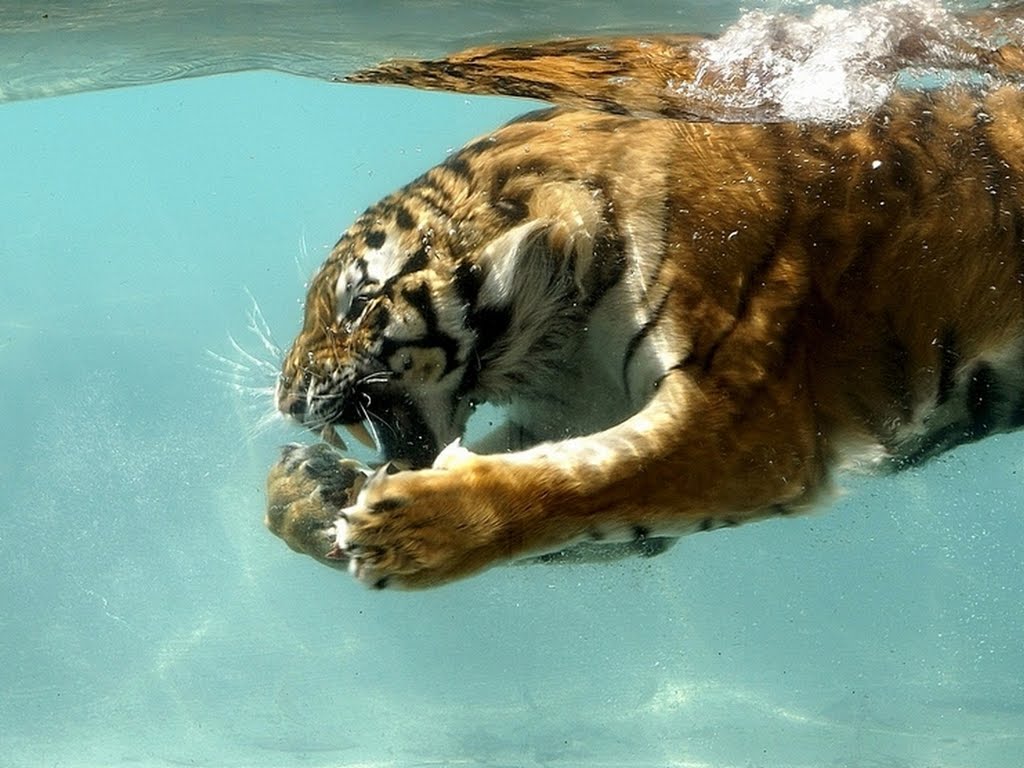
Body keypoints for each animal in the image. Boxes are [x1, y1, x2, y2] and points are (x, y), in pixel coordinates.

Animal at [264, 12, 1024, 590]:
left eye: (358, 302)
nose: (285, 398)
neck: (561, 329)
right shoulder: (581, 409)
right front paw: (305, 496)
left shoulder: (744, 429)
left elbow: (581, 482)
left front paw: (406, 533)